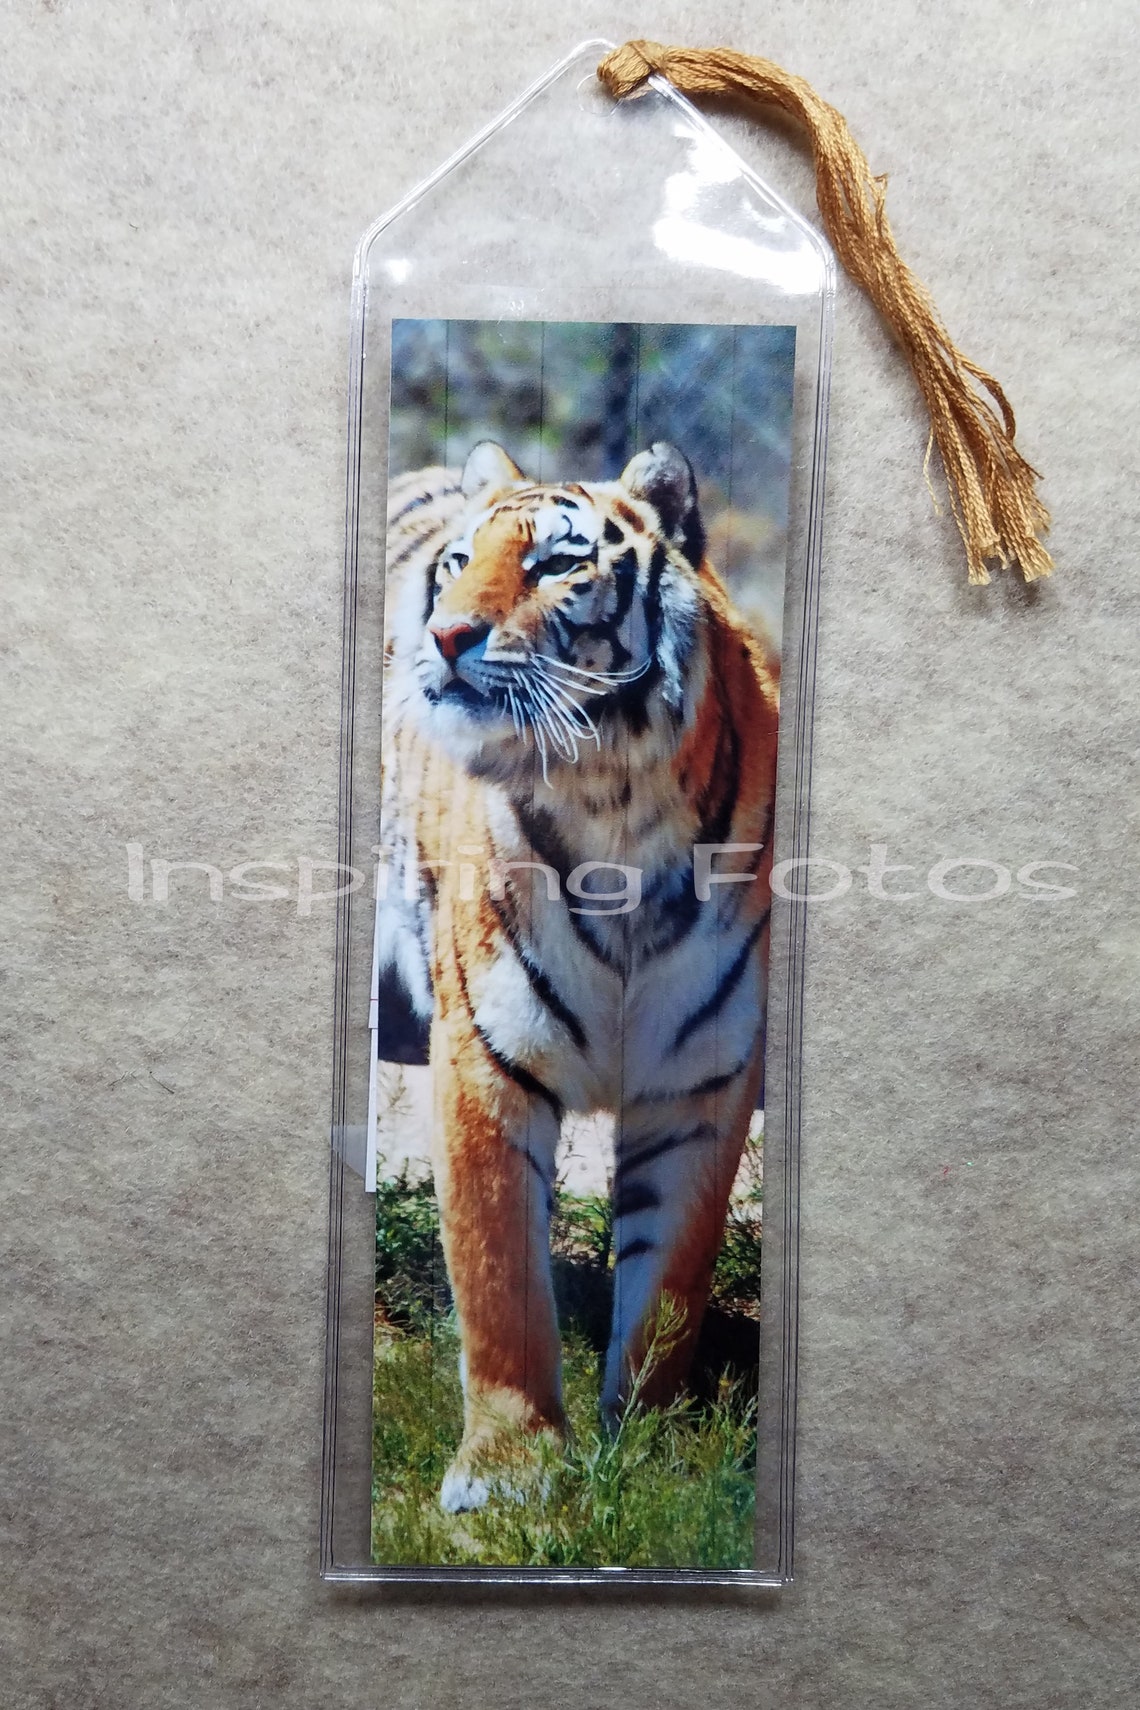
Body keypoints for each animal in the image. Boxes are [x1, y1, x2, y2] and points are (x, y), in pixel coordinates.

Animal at [376, 438, 778, 1513]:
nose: (444, 635)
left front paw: (645, 1449)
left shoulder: (699, 1082)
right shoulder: (486, 1058)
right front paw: (508, 1470)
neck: (616, 802)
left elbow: (669, 1285)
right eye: (455, 562)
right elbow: (502, 1275)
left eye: (556, 565)